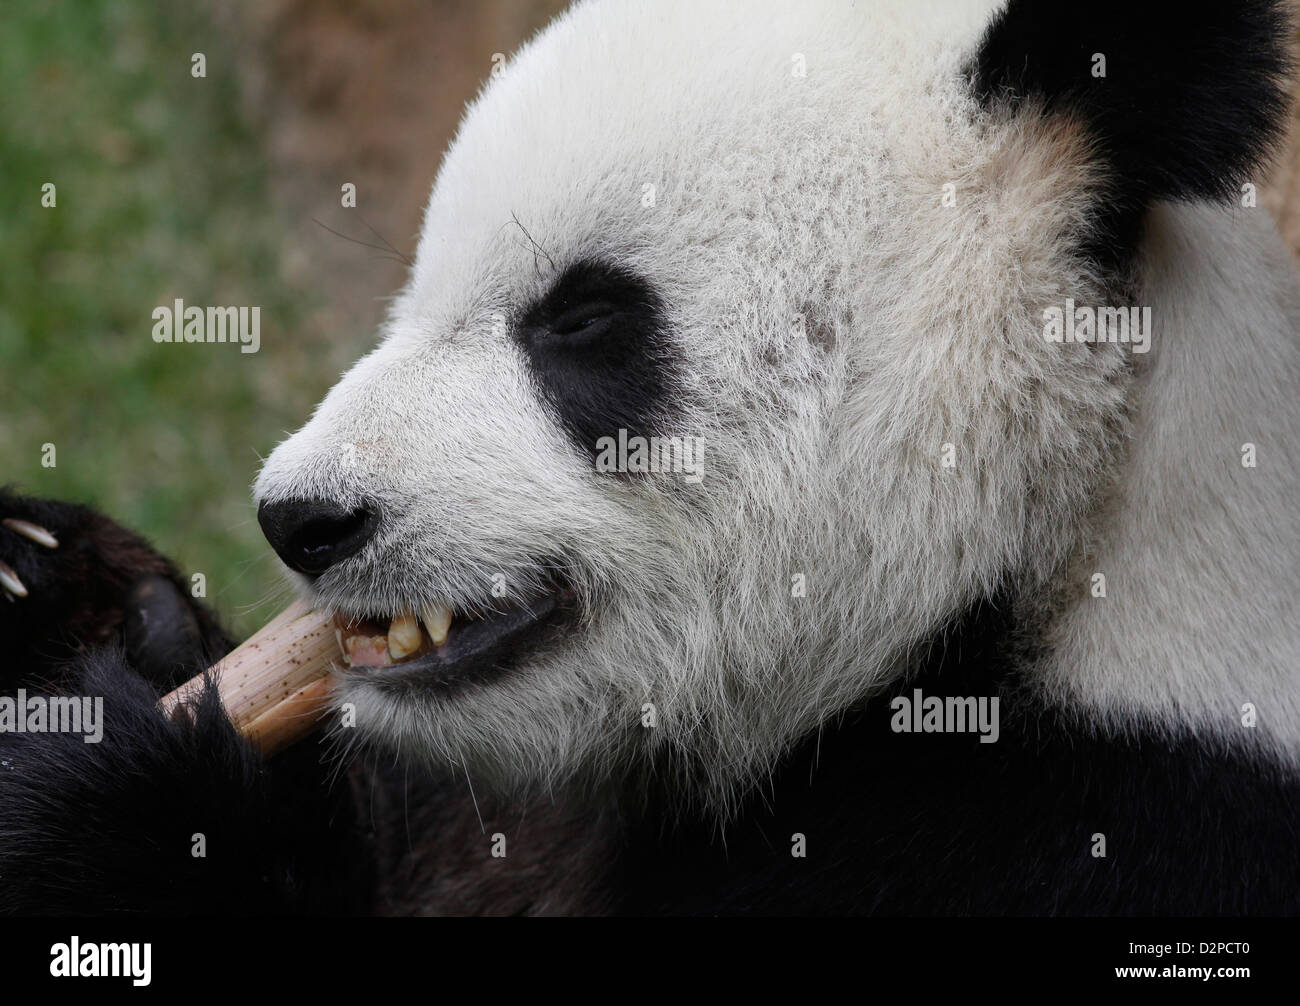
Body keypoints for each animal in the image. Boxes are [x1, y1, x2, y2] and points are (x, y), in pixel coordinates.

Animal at [1, 0, 1298, 916]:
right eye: (410, 289)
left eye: (579, 321)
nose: (303, 519)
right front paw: (59, 587)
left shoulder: (1105, 816)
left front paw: (105, 800)